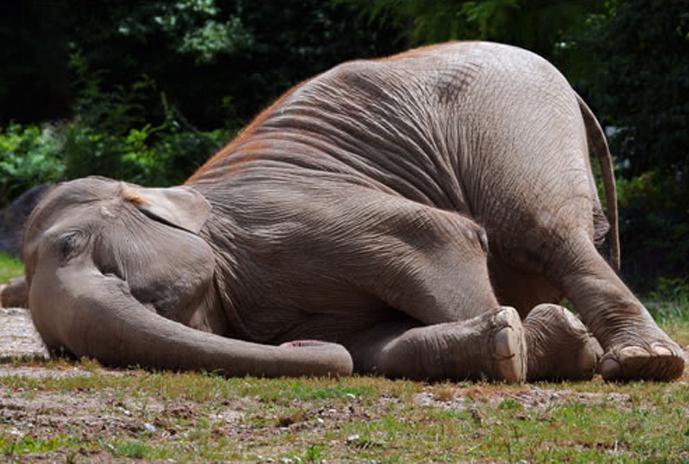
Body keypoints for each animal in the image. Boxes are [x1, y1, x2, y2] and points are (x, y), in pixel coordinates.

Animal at [20, 41, 684, 380]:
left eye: (72, 245)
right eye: (60, 353)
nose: (295, 348)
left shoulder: (297, 215)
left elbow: (438, 239)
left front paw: (545, 346)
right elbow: (372, 345)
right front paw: (518, 341)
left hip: (514, 121)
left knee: (546, 232)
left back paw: (642, 364)